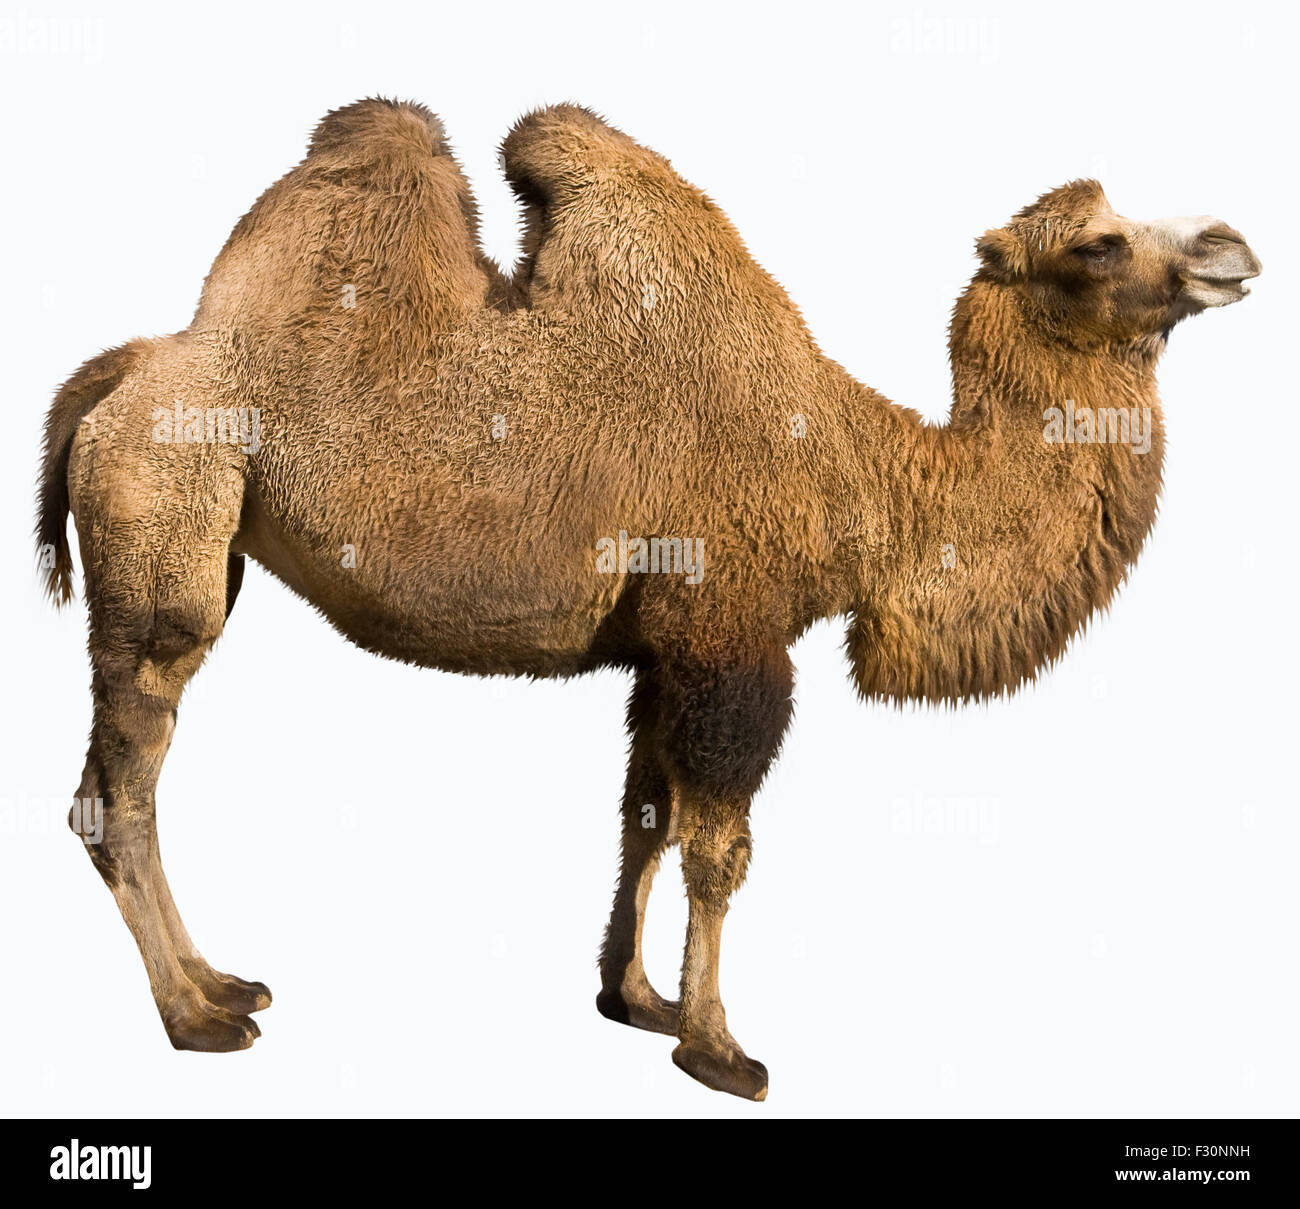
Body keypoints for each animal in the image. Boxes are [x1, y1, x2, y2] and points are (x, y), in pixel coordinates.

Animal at [35, 99, 1260, 1100]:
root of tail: (119, 375)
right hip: (164, 519)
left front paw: (634, 1000)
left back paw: (223, 984)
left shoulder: (666, 646)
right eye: (1097, 243)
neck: (863, 479)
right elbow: (722, 849)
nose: (1230, 248)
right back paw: (193, 1018)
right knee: (127, 770)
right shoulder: (735, 634)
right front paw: (718, 1048)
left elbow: (645, 815)